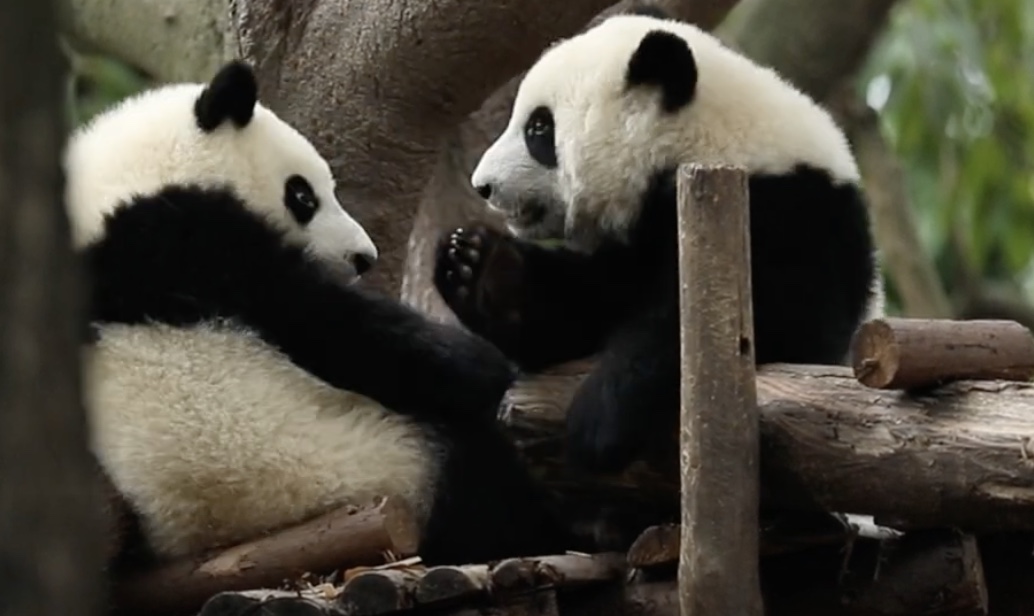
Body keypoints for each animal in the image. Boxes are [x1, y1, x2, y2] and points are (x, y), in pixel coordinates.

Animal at [71, 60, 573, 569]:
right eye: (303, 196)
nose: (364, 258)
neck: (127, 188)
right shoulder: (196, 239)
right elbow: (342, 328)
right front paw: (486, 366)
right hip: (365, 462)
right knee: (479, 476)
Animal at [433, 8, 885, 475]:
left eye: (538, 129)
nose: (482, 185)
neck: (704, 143)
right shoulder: (633, 246)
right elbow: (578, 310)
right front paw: (483, 270)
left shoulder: (795, 219)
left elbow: (755, 326)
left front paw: (599, 422)